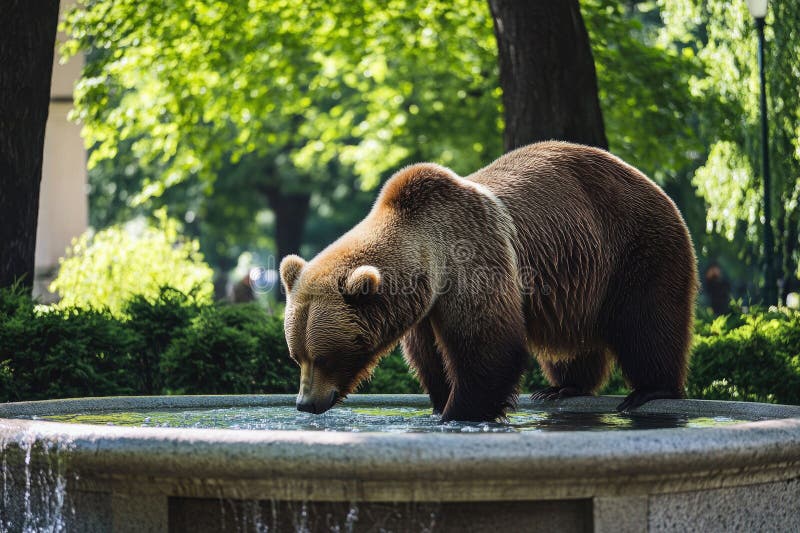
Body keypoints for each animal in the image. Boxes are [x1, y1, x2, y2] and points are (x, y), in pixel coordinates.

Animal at [280, 141, 698, 422]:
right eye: (296, 355)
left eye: (324, 356)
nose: (306, 403)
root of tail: (648, 180)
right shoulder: (425, 308)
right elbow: (430, 356)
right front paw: (440, 402)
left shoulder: (471, 259)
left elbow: (487, 346)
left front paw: (459, 413)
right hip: (583, 280)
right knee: (574, 342)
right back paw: (561, 387)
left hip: (636, 247)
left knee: (649, 322)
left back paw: (649, 390)